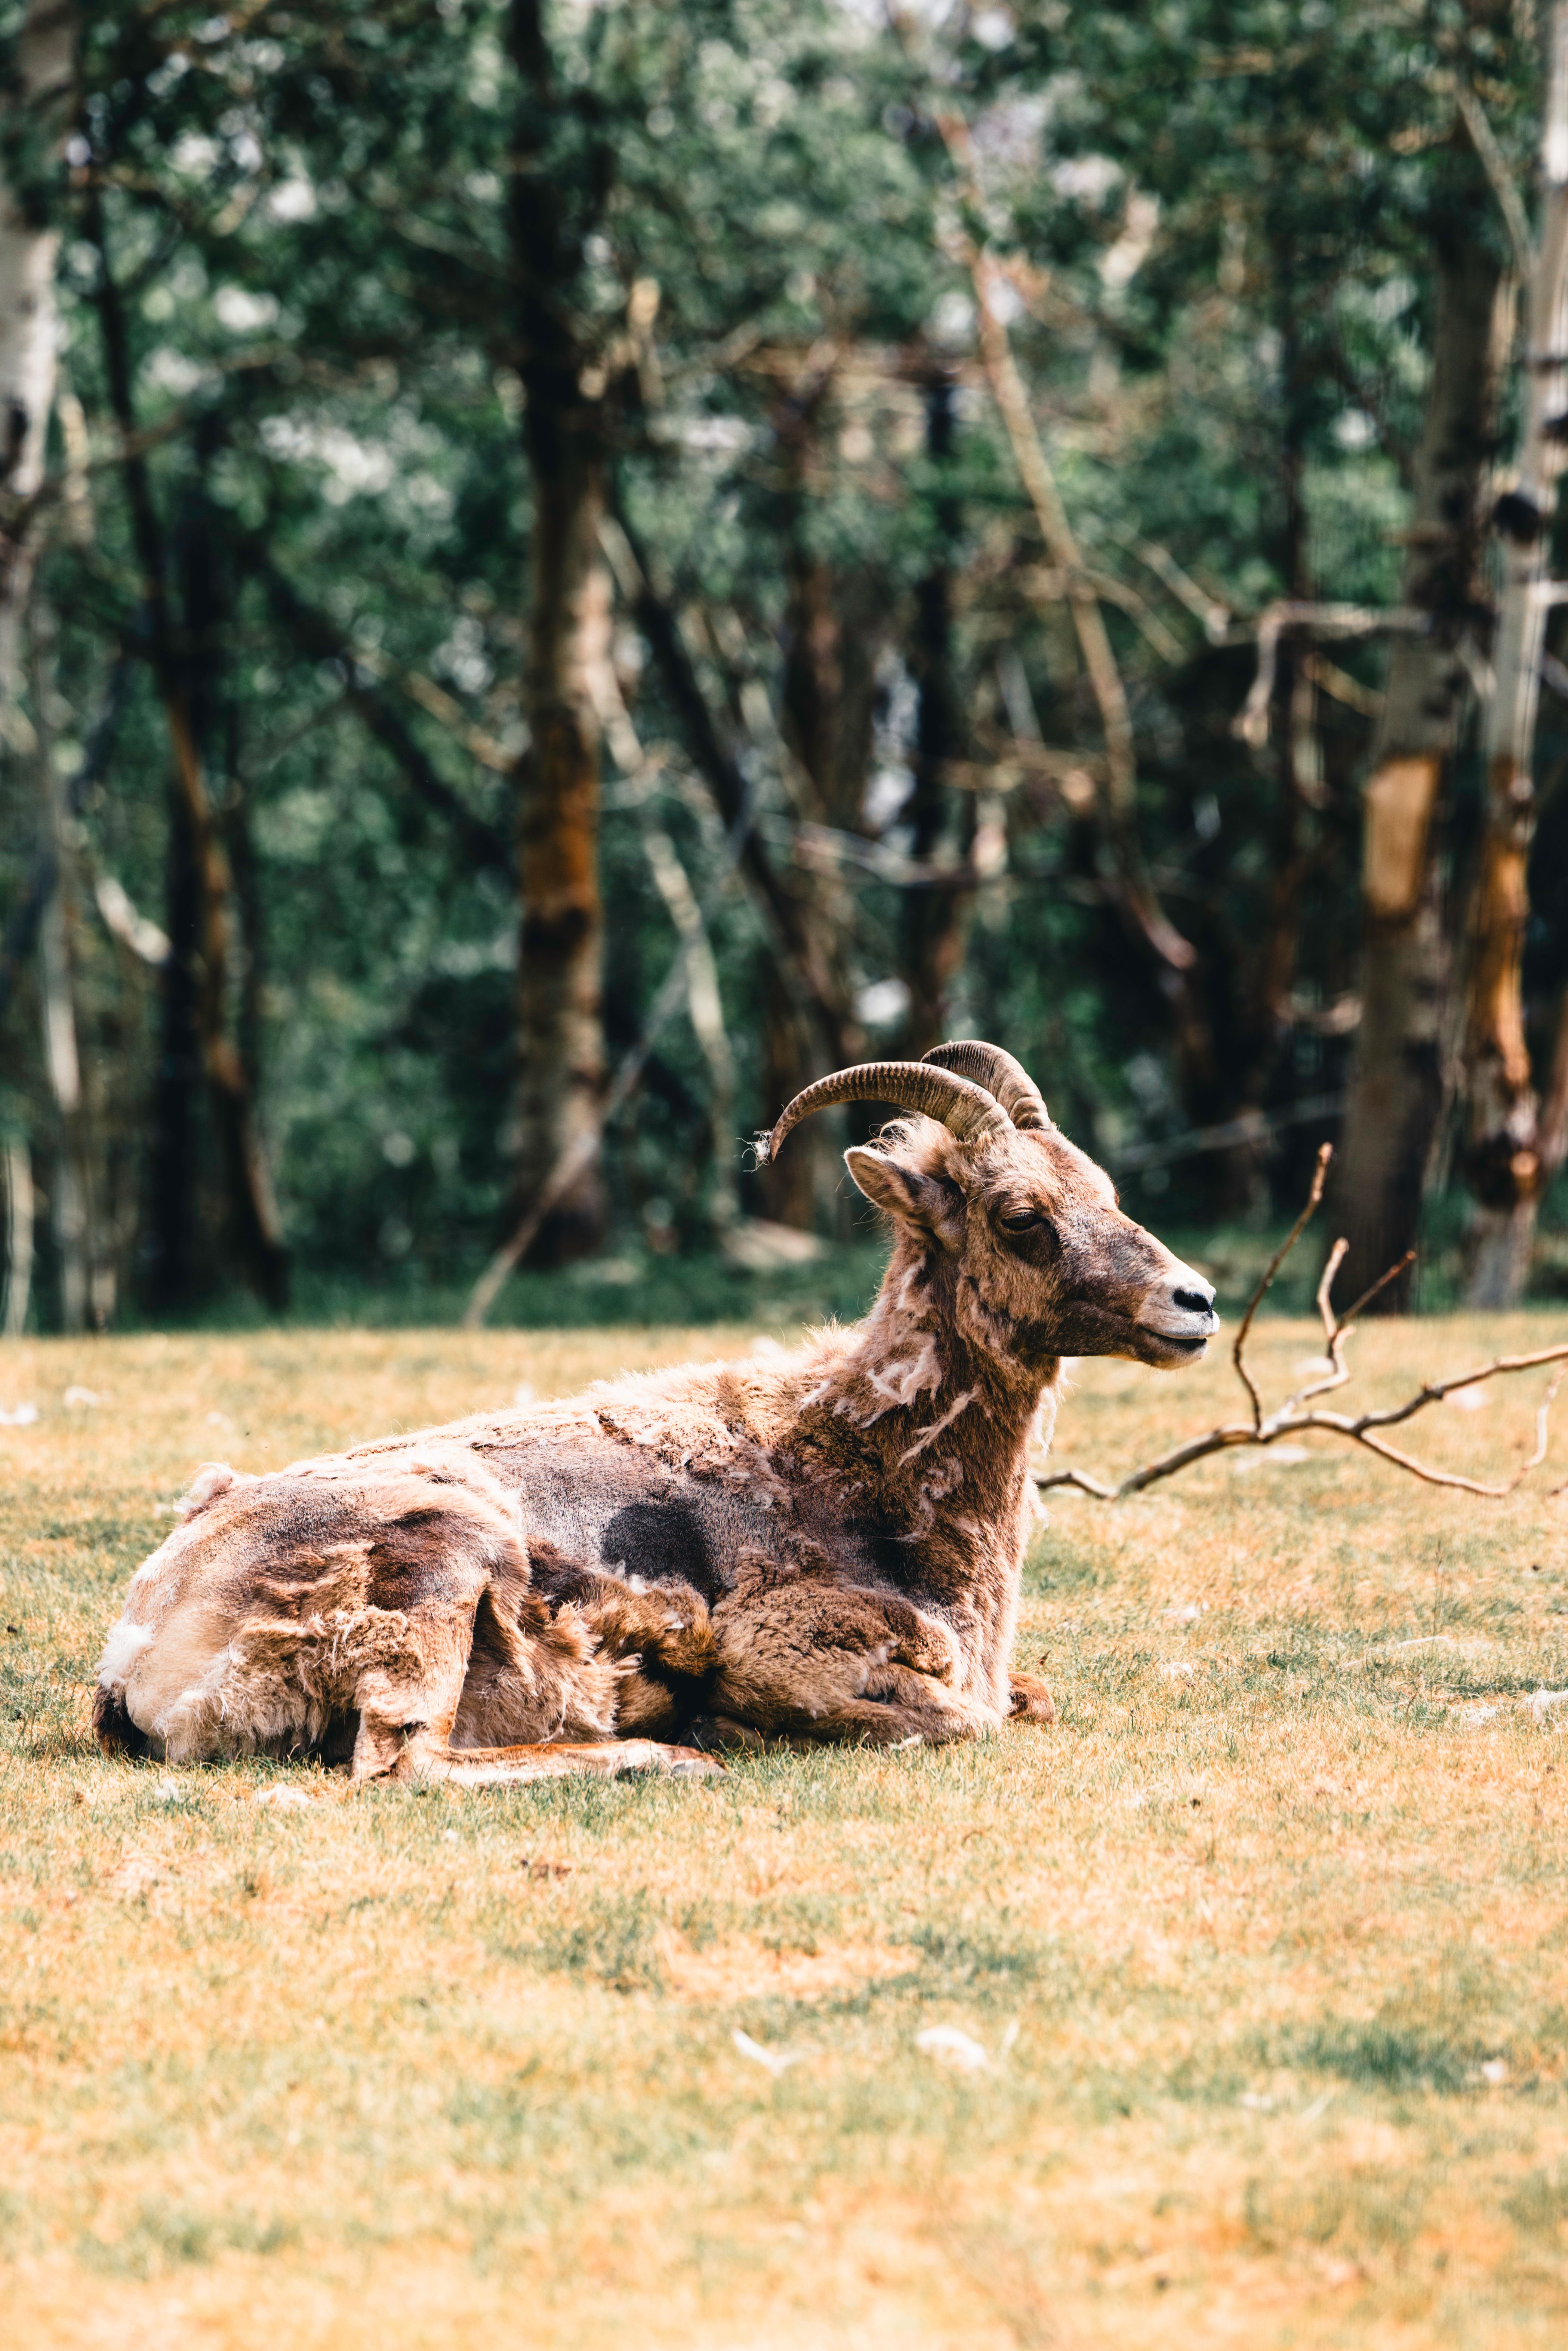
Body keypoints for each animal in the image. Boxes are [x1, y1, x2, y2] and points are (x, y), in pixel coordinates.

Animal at [92, 1042, 1218, 1783]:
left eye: (1105, 1190)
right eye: (1019, 1217)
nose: (1194, 1303)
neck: (860, 1461)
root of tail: (140, 1656)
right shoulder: (784, 1644)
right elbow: (957, 1721)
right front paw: (728, 1727)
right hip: (446, 1559)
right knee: (406, 1763)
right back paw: (662, 1753)